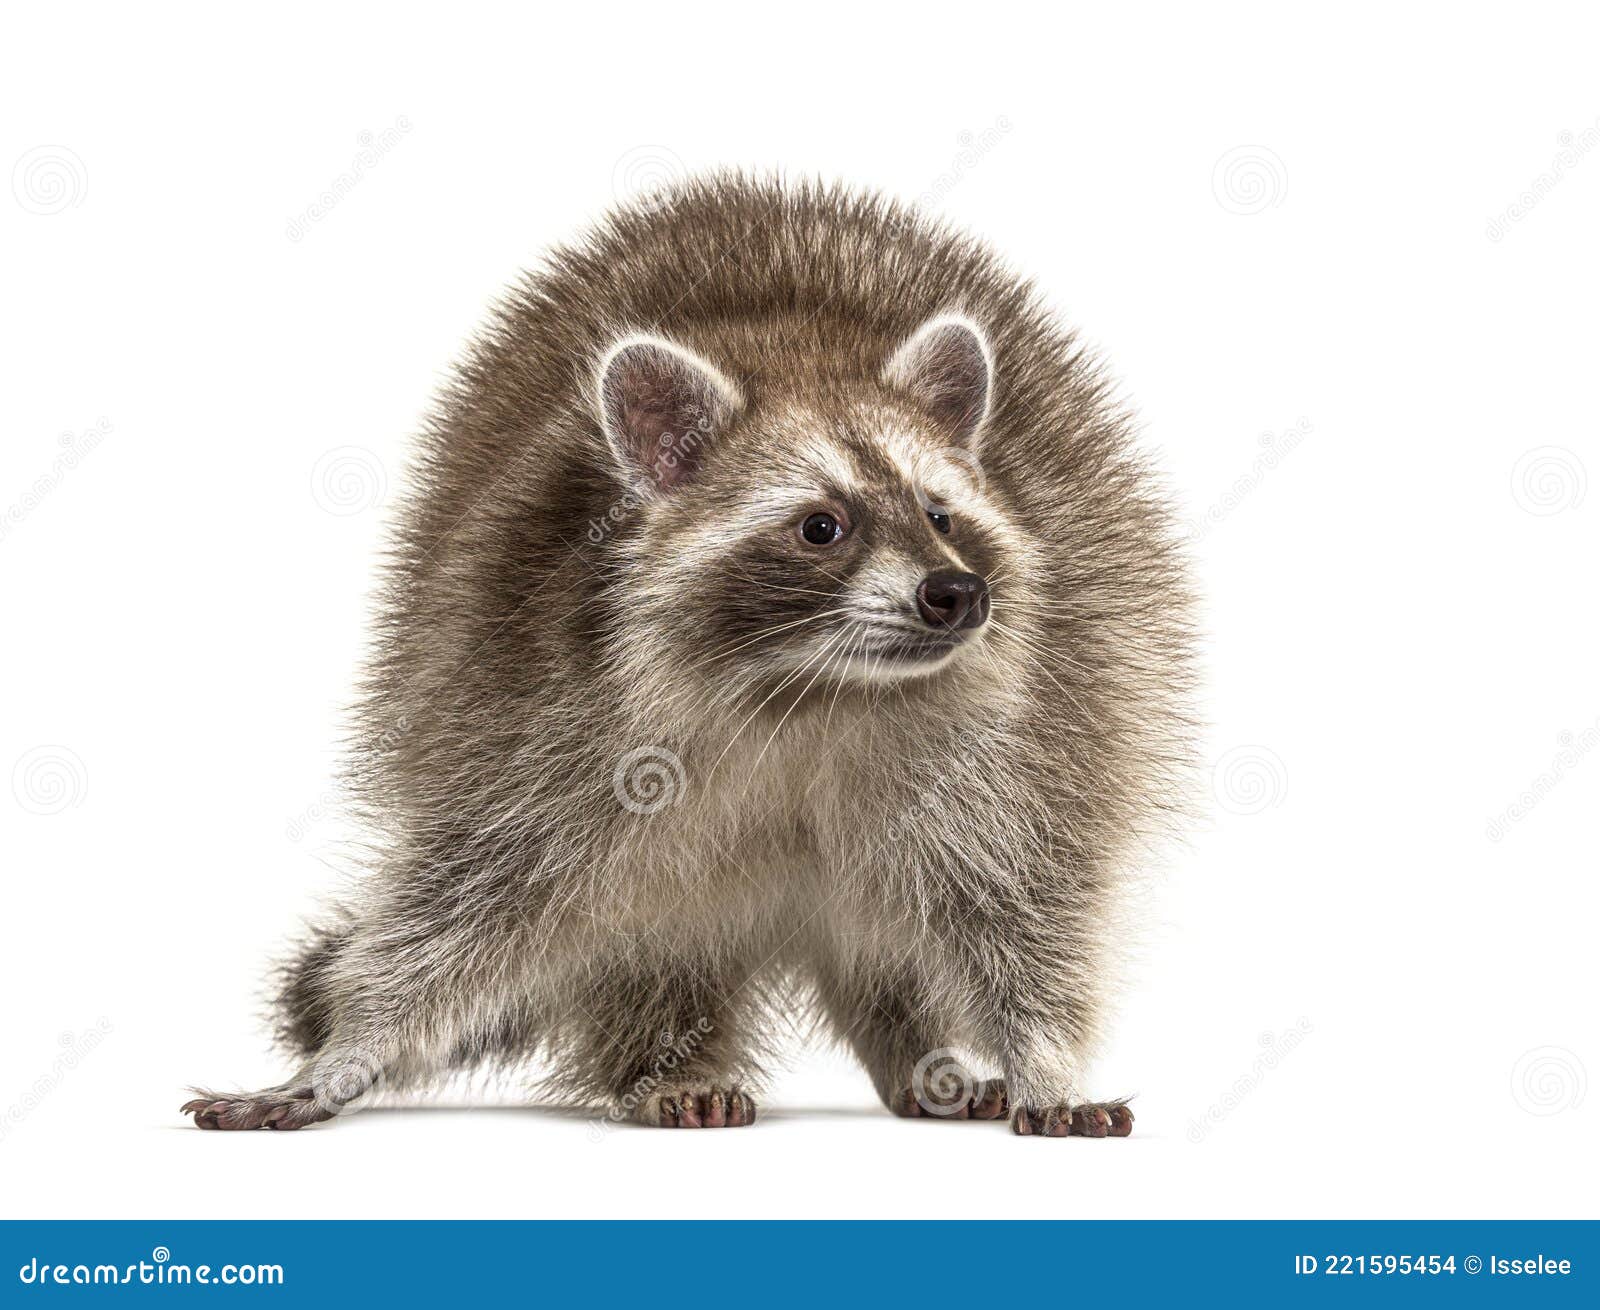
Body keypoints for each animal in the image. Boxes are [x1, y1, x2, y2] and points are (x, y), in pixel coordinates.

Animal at [183, 174, 1192, 1137]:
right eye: (822, 526)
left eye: (940, 514)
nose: (958, 594)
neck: (814, 686)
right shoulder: (527, 697)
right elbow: (467, 903)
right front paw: (345, 1054)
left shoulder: (1033, 727)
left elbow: (1021, 902)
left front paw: (1045, 1060)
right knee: (644, 932)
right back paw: (672, 1068)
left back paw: (916, 1052)